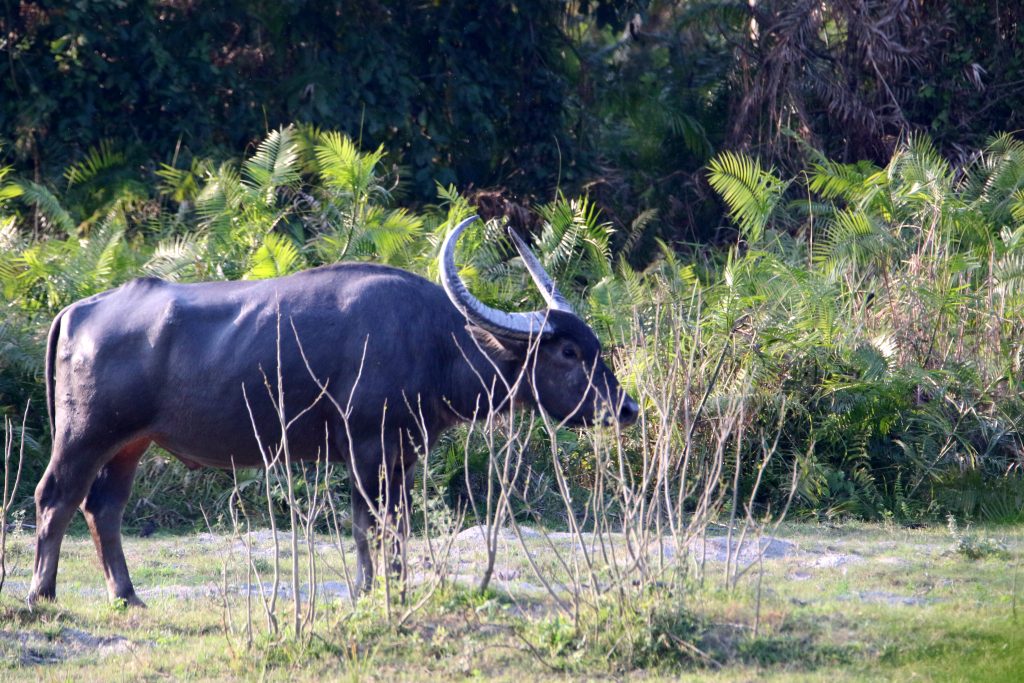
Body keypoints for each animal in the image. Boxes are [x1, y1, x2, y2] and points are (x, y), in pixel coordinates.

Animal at [28, 216, 638, 606]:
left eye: (594, 345)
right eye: (568, 352)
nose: (627, 408)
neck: (434, 342)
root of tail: (80, 309)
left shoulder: (402, 454)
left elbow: (397, 523)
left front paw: (396, 586)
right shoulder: (365, 448)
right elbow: (371, 523)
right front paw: (371, 590)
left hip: (130, 443)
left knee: (103, 508)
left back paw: (128, 596)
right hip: (84, 434)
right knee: (55, 498)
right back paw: (42, 593)